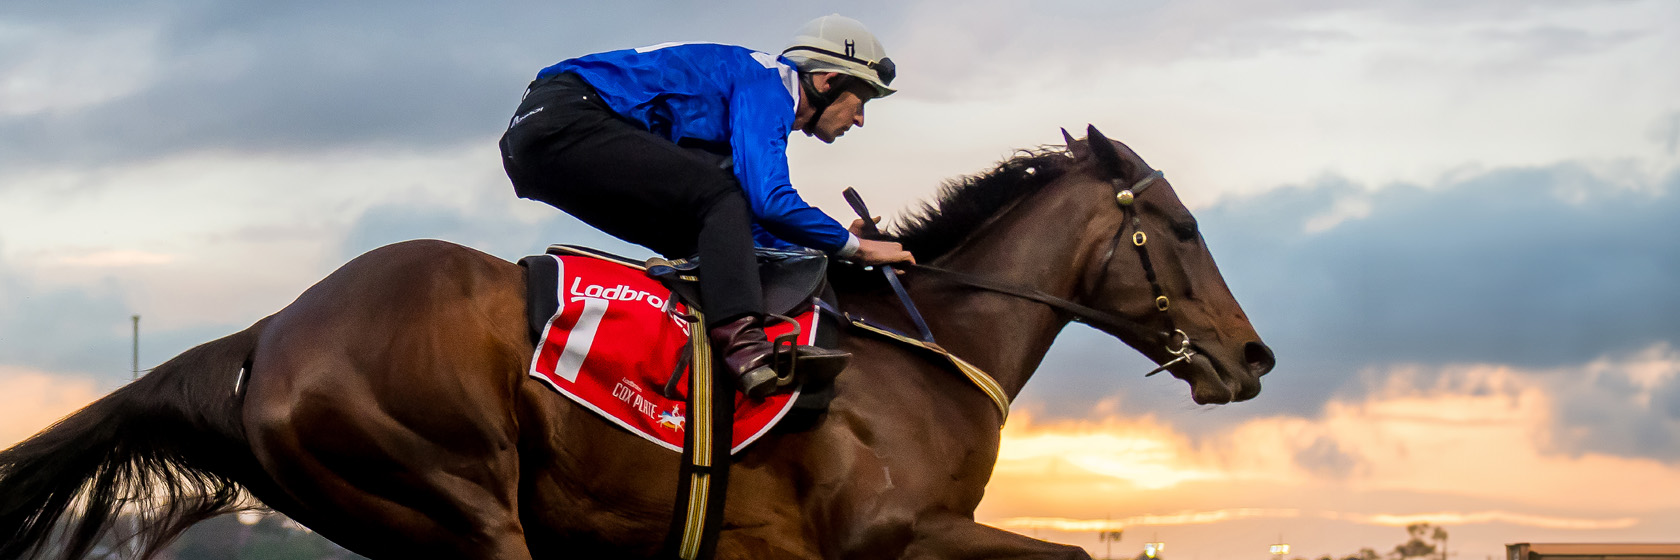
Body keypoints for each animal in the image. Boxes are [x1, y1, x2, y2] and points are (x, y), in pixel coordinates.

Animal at [0, 125, 1273, 559]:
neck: (925, 341)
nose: (1252, 356)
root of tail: (271, 329)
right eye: (1183, 226)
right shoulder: (889, 533)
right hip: (461, 500)